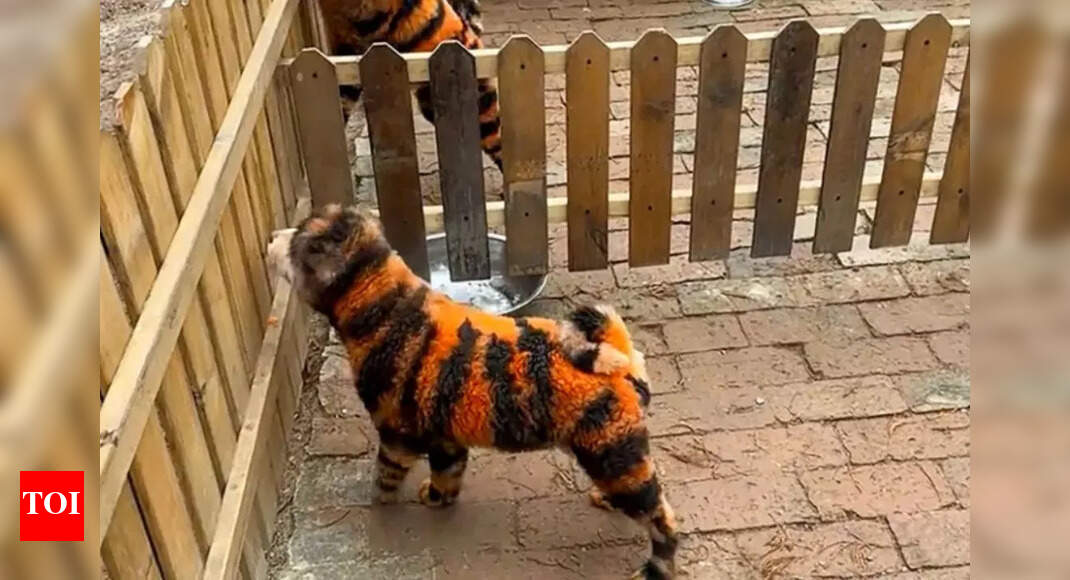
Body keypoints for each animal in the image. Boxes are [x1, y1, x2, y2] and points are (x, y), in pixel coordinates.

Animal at [267, 204, 680, 579]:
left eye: (300, 241)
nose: (271, 237)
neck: (388, 309)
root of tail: (621, 358)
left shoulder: (396, 434)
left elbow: (384, 476)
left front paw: (378, 502)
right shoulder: (446, 438)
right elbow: (447, 475)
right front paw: (436, 499)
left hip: (615, 455)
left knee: (662, 519)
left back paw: (655, 569)